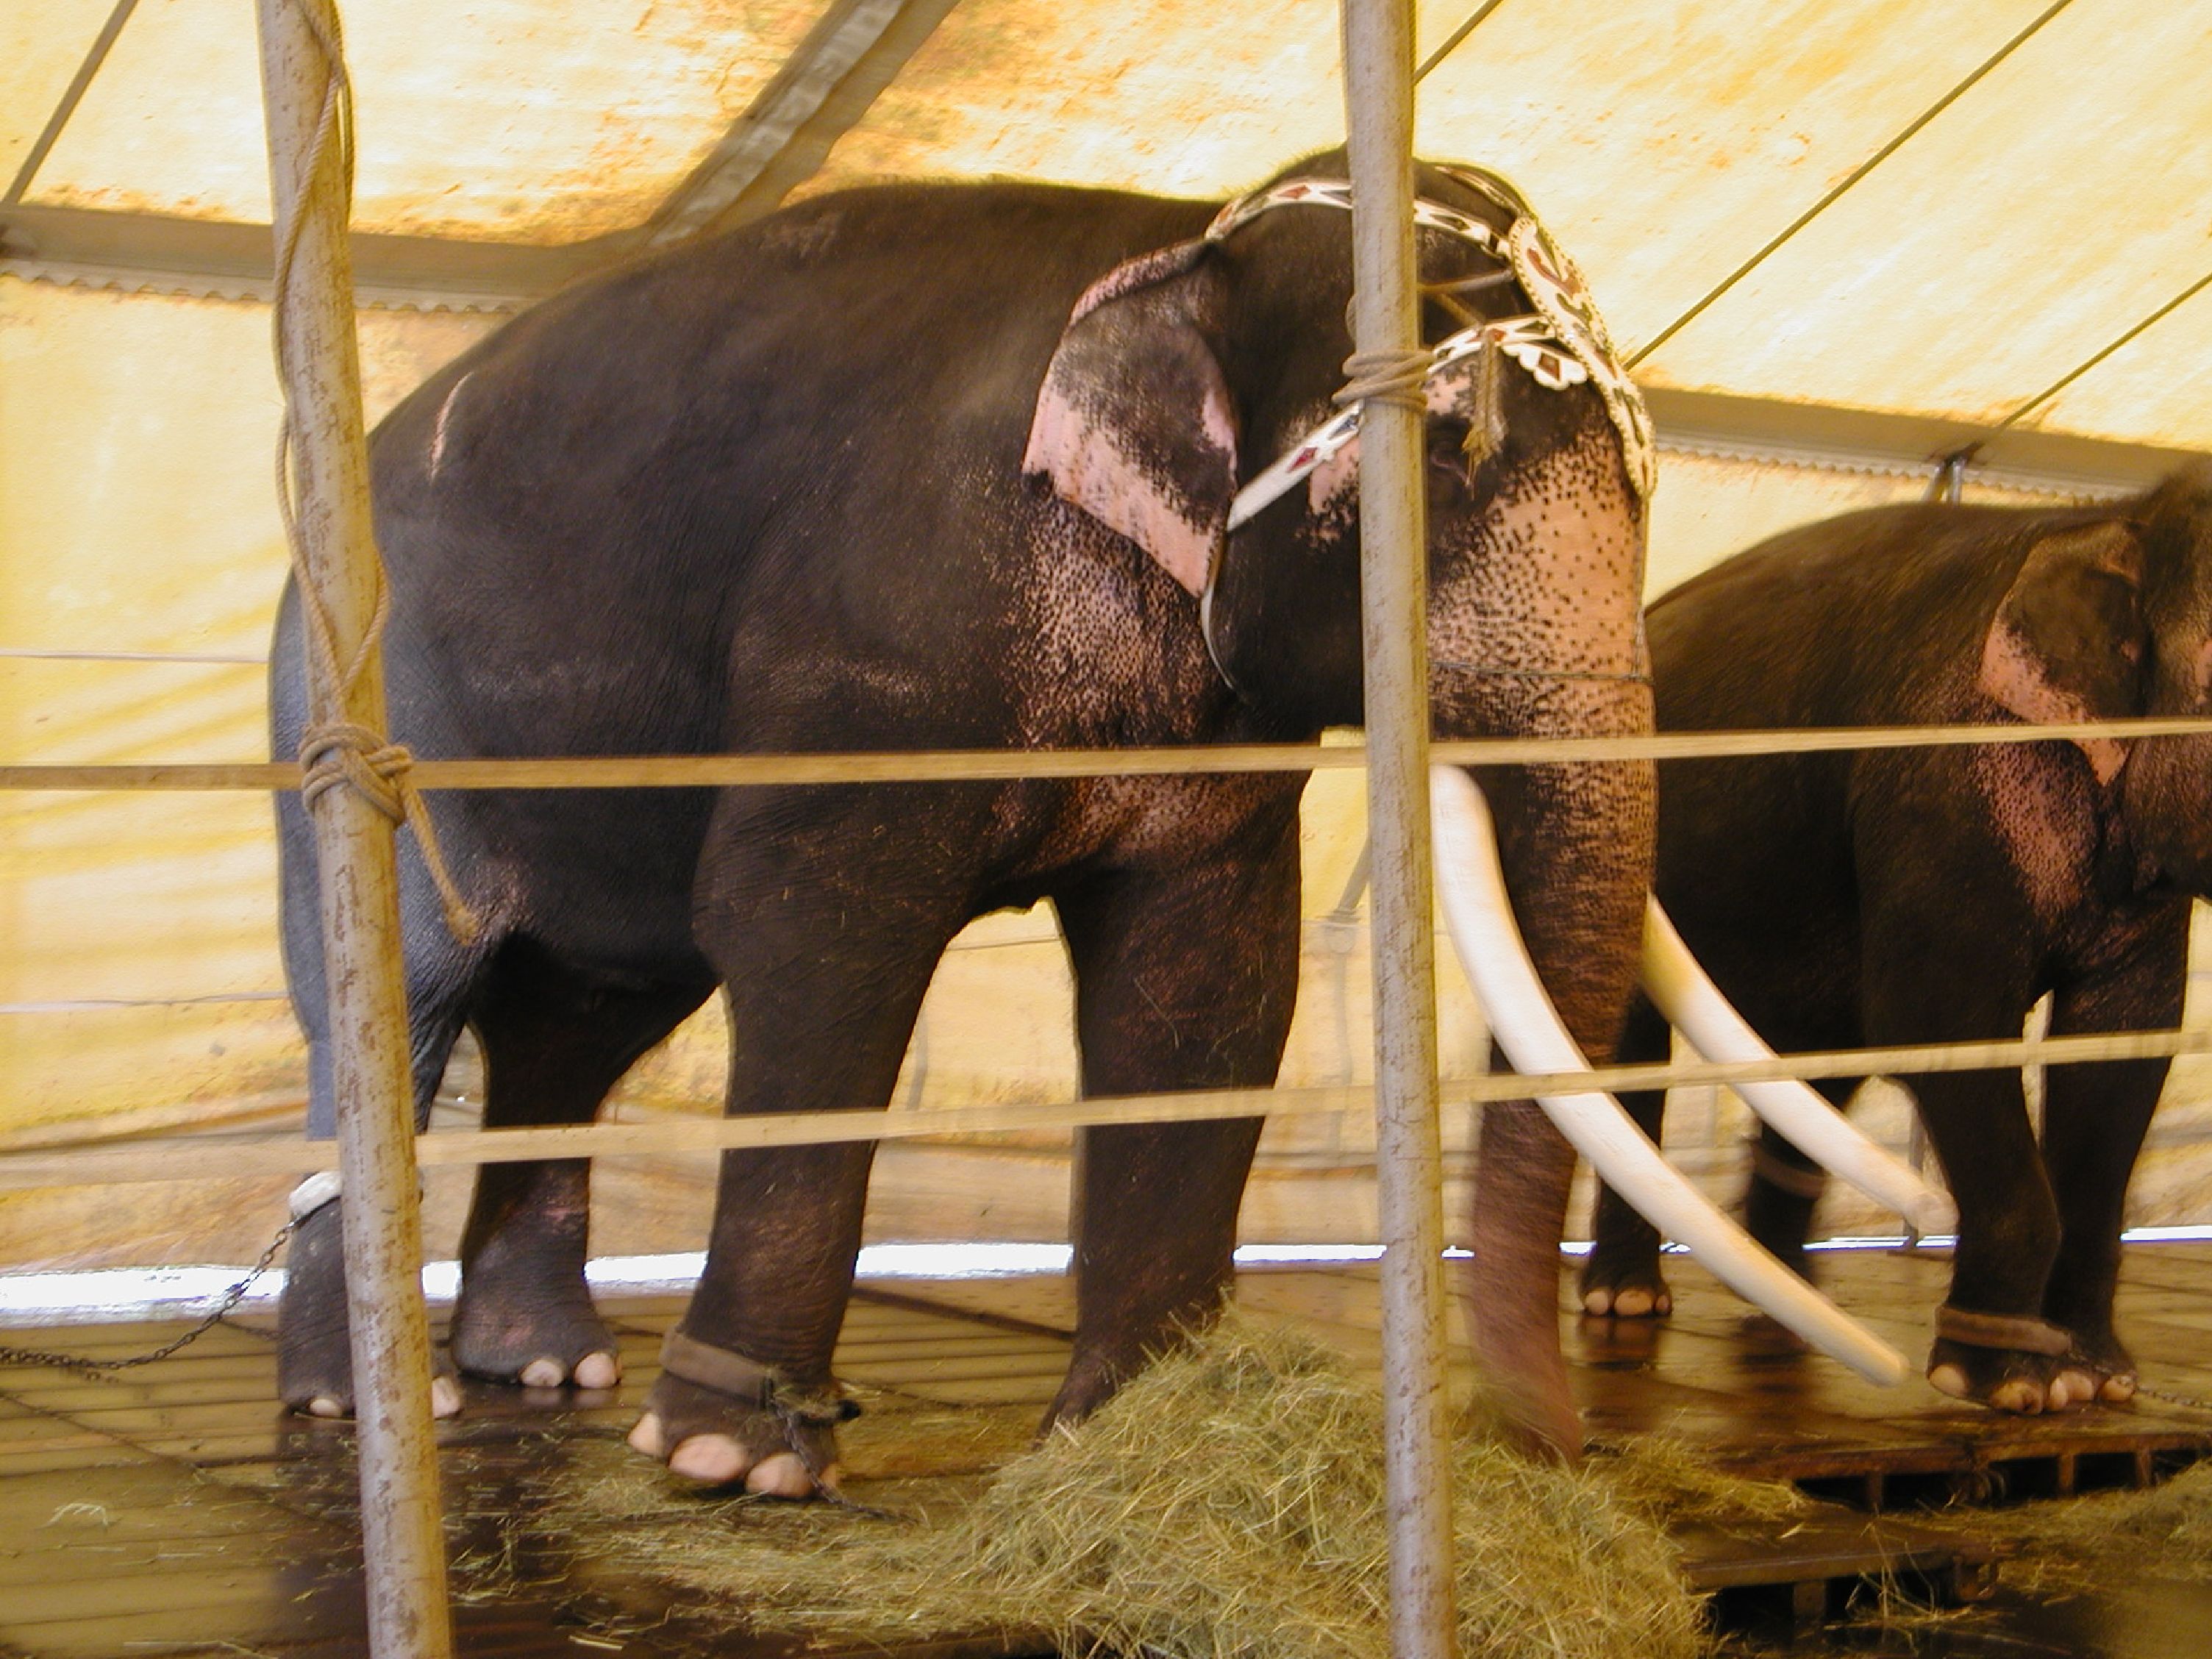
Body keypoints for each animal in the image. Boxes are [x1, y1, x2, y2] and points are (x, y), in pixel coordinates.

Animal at [271, 152, 1662, 1489]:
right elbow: (805, 928)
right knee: (404, 1000)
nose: (1546, 1447)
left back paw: (546, 1365)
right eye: (1449, 454)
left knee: (585, 1021)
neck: (1181, 240)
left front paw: (1118, 1435)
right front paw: (735, 1456)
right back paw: (368, 1398)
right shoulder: (877, 630)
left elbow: (1204, 978)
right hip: (360, 706)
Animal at [1579, 471, 2212, 1414]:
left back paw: (1787, 1302)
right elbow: (1938, 1019)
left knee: (1820, 1055)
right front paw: (2006, 1386)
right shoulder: (1950, 777)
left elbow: (2122, 1051)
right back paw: (1624, 1301)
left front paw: (2098, 1380)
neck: (2119, 520)